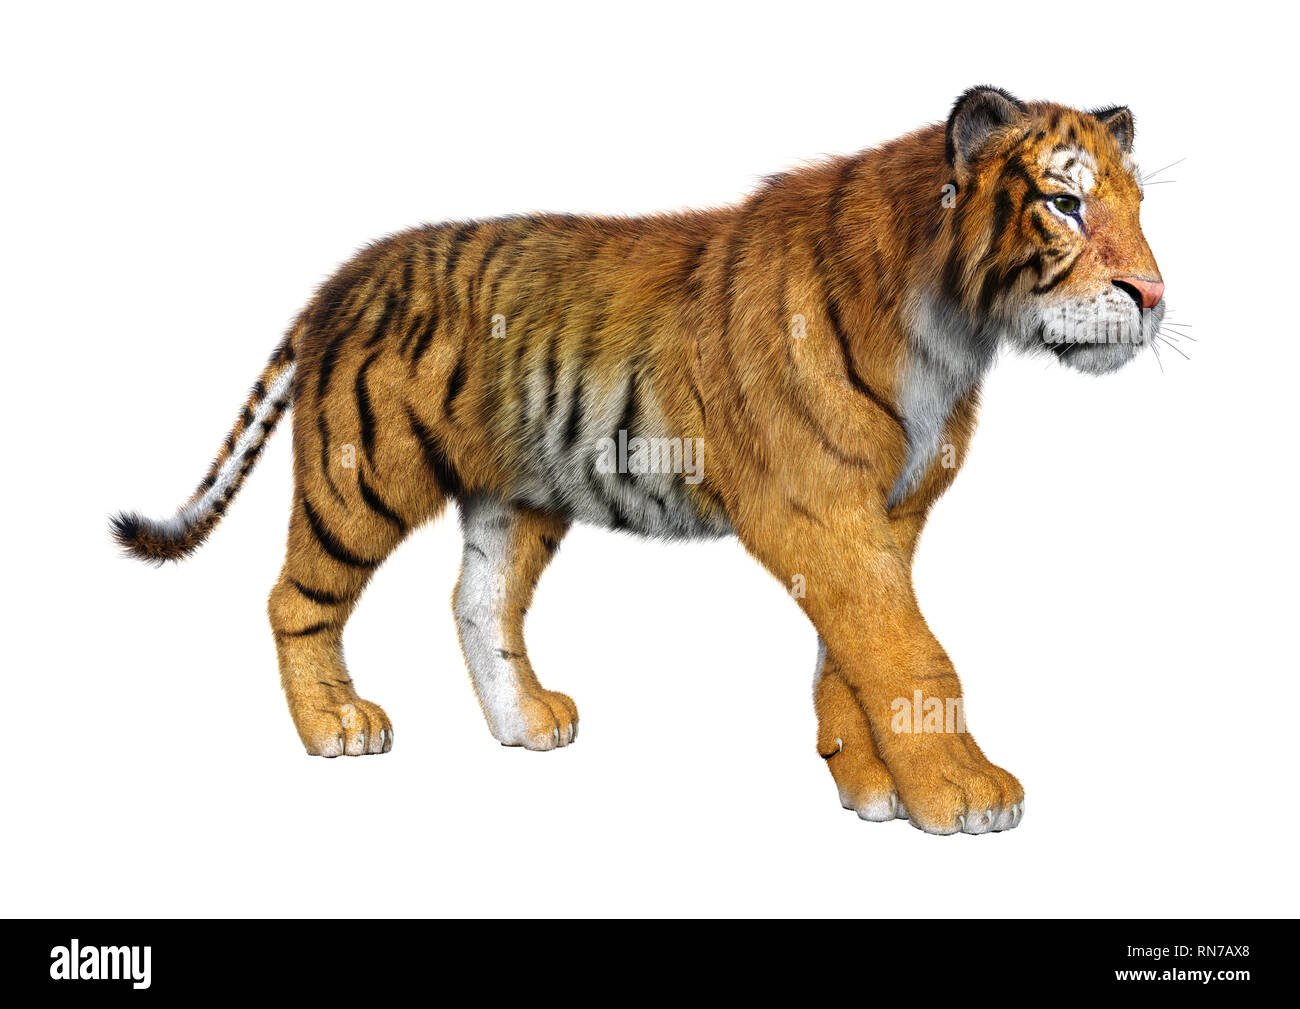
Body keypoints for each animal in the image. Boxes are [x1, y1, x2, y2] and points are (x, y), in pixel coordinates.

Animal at [112, 86, 1165, 835]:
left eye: (1139, 205)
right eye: (1065, 204)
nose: (1154, 297)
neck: (954, 332)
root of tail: (338, 280)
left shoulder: (886, 513)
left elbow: (854, 655)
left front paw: (874, 786)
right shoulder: (817, 507)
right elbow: (909, 651)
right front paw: (968, 794)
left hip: (516, 492)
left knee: (477, 600)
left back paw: (527, 722)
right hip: (361, 473)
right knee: (296, 597)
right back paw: (336, 727)